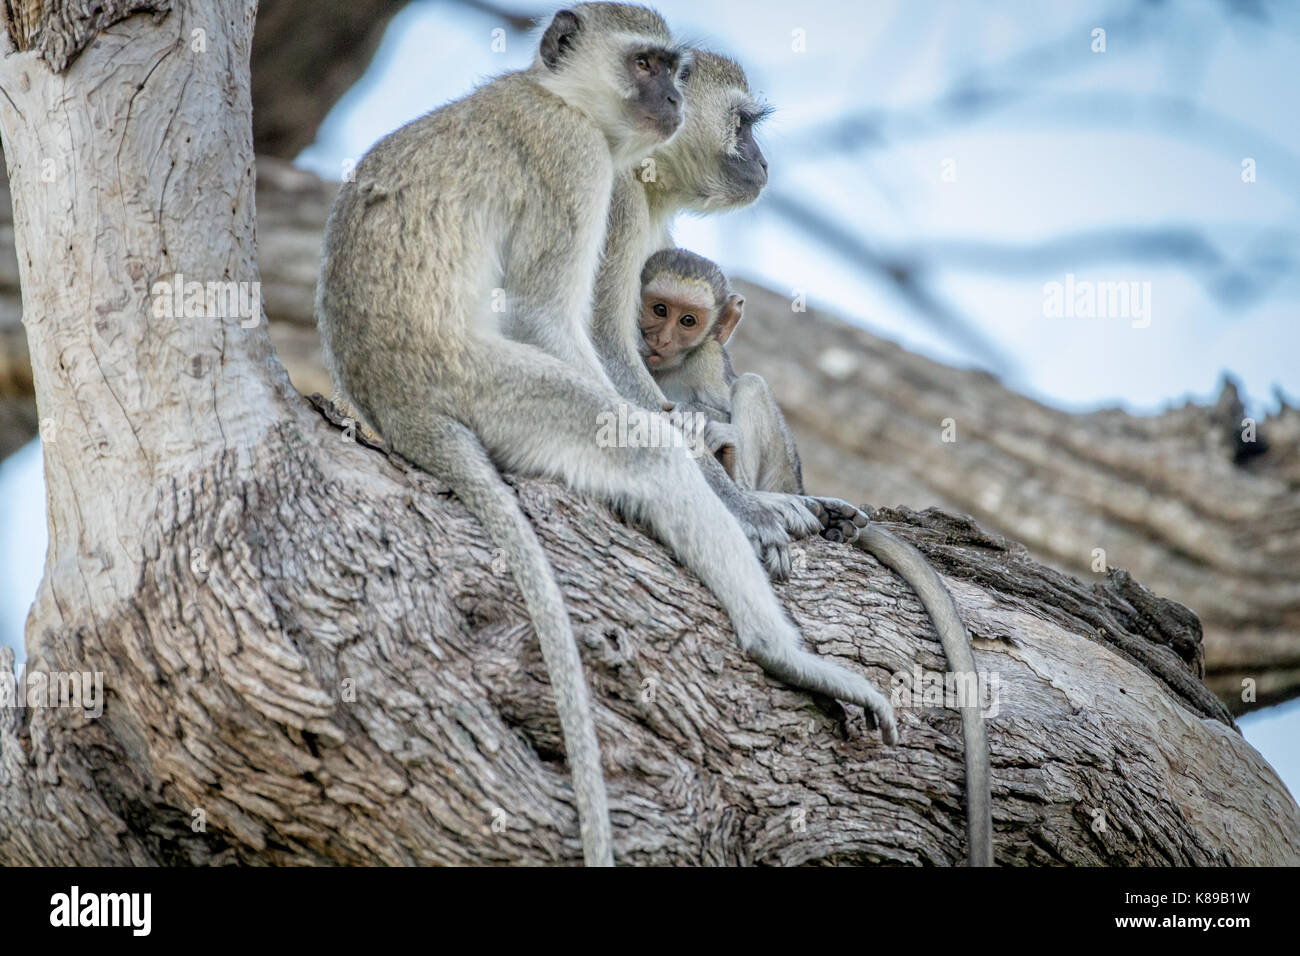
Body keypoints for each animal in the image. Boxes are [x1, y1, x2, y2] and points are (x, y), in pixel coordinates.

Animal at [316, 4, 898, 868]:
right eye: (650, 66)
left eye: (675, 70)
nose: (760, 158)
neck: (557, 97)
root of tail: (393, 397)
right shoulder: (588, 174)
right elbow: (570, 324)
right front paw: (751, 511)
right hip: (493, 385)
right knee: (639, 448)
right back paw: (784, 652)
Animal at [637, 248, 995, 867]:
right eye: (657, 309)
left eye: (687, 320)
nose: (658, 337)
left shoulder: (705, 361)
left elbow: (715, 404)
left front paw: (705, 429)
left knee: (750, 391)